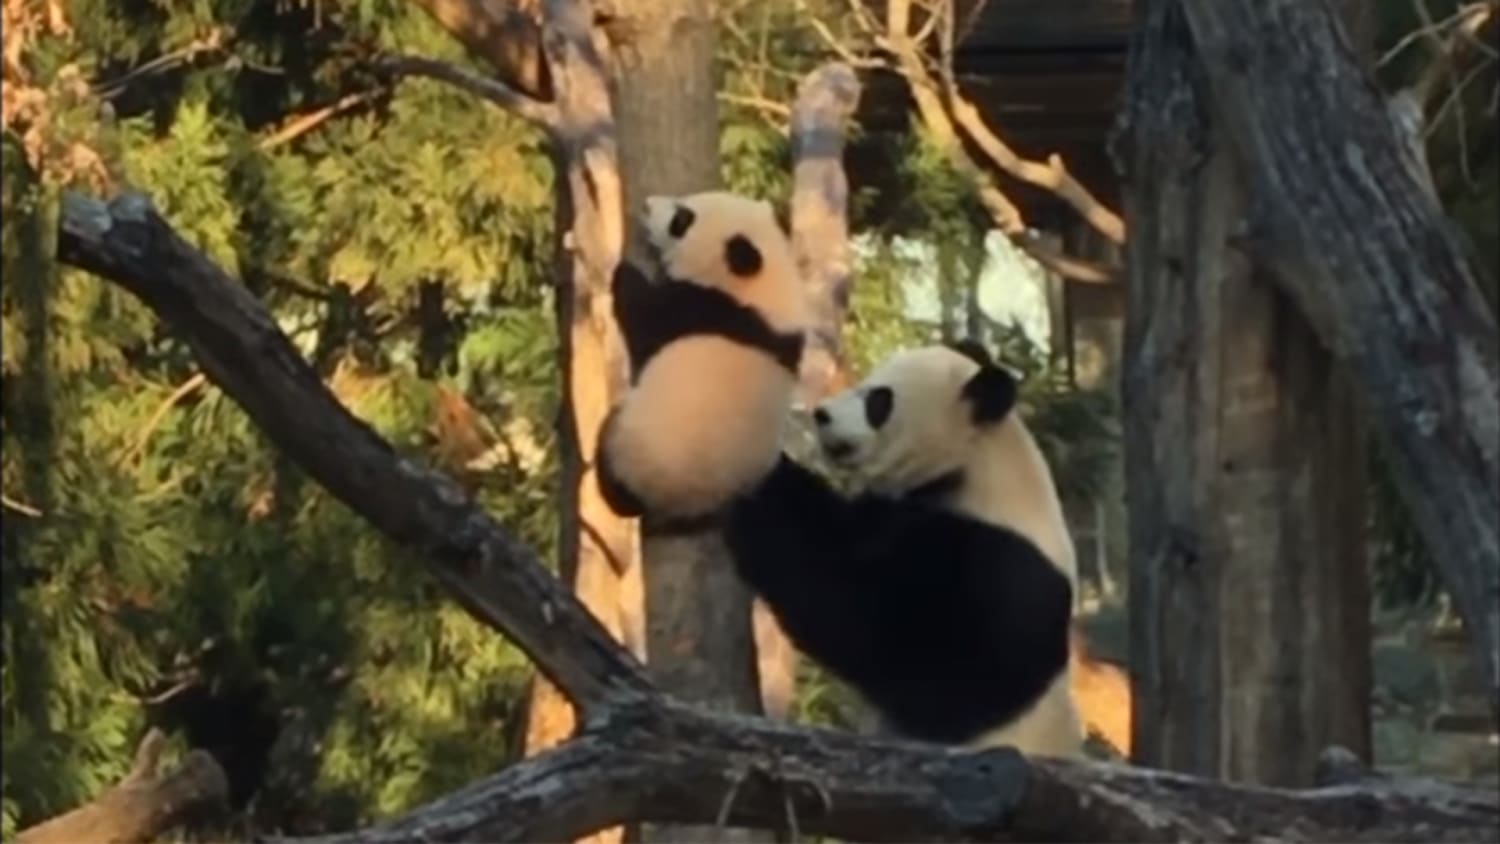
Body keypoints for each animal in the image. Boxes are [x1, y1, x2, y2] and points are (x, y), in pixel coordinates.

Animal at [595, 190, 809, 535]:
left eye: (681, 220)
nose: (647, 206)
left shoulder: (702, 307)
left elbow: (645, 319)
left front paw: (623, 273)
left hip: (632, 442)